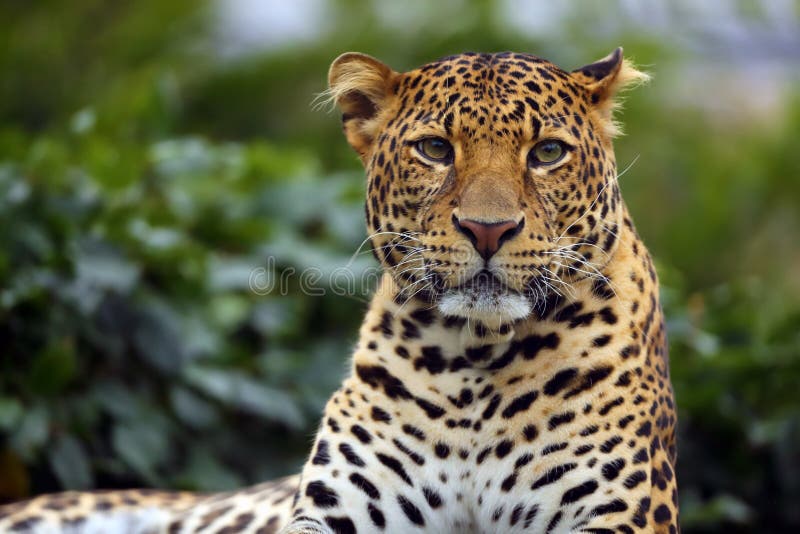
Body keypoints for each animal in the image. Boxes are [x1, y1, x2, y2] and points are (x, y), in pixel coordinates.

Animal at [0, 48, 679, 534]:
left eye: (547, 152)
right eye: (436, 149)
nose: (489, 229)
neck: (477, 359)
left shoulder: (618, 518)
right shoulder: (339, 512)